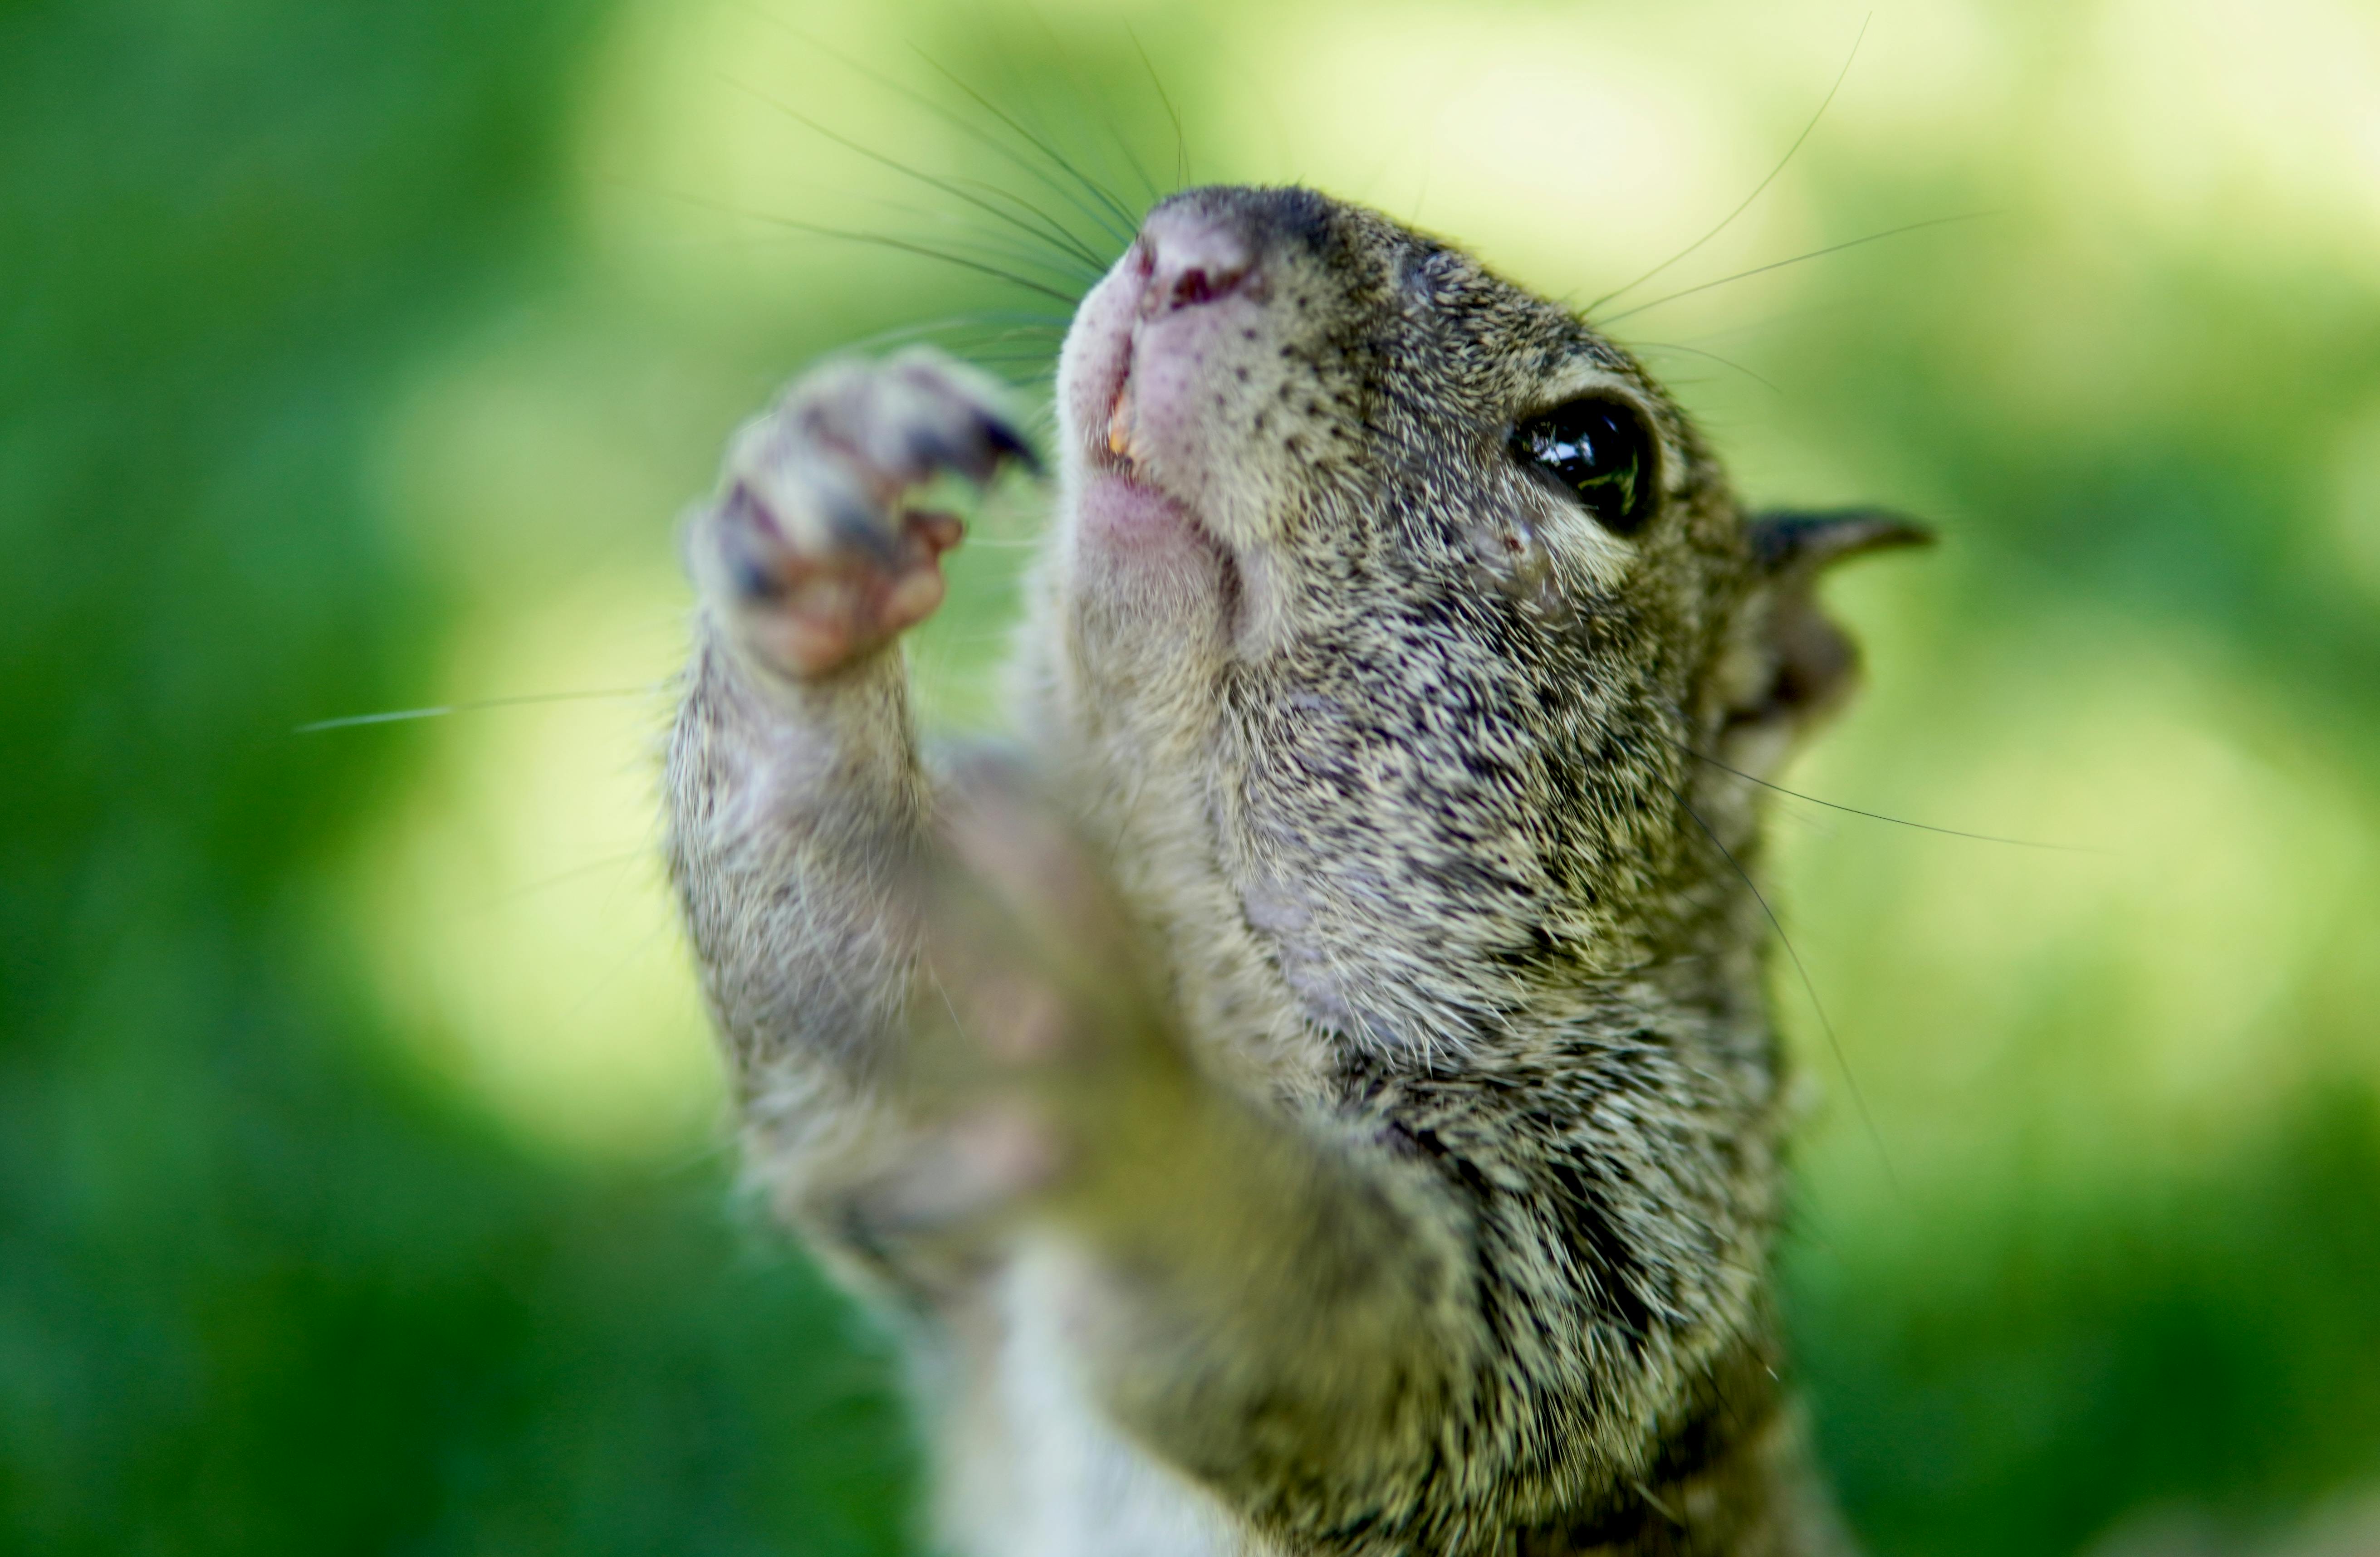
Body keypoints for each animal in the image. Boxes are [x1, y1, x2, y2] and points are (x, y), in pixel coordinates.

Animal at [663, 184, 1928, 1557]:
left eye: (1600, 456)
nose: (1181, 247)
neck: (1182, 913)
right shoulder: (918, 1204)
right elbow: (846, 1013)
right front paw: (814, 511)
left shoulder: (1636, 1217)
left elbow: (1374, 1329)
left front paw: (1114, 1101)